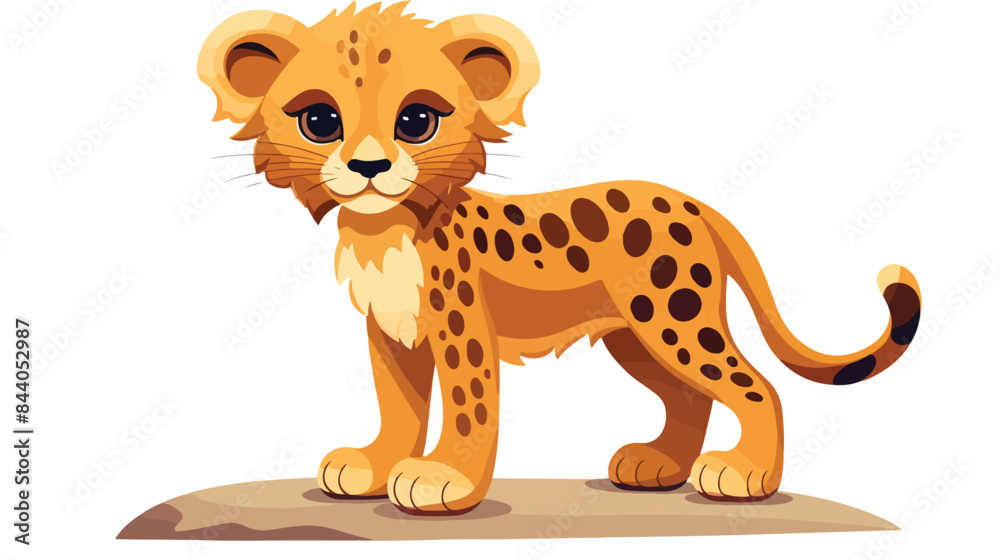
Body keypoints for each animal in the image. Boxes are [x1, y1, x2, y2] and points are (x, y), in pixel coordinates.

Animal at [198, 2, 922, 515]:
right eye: (319, 121)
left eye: (417, 121)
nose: (369, 167)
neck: (386, 229)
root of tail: (693, 203)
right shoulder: (391, 330)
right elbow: (397, 404)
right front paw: (375, 466)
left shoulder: (460, 328)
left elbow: (468, 404)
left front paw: (443, 479)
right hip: (637, 335)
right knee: (690, 395)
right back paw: (657, 466)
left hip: (675, 318)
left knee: (752, 384)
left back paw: (745, 476)